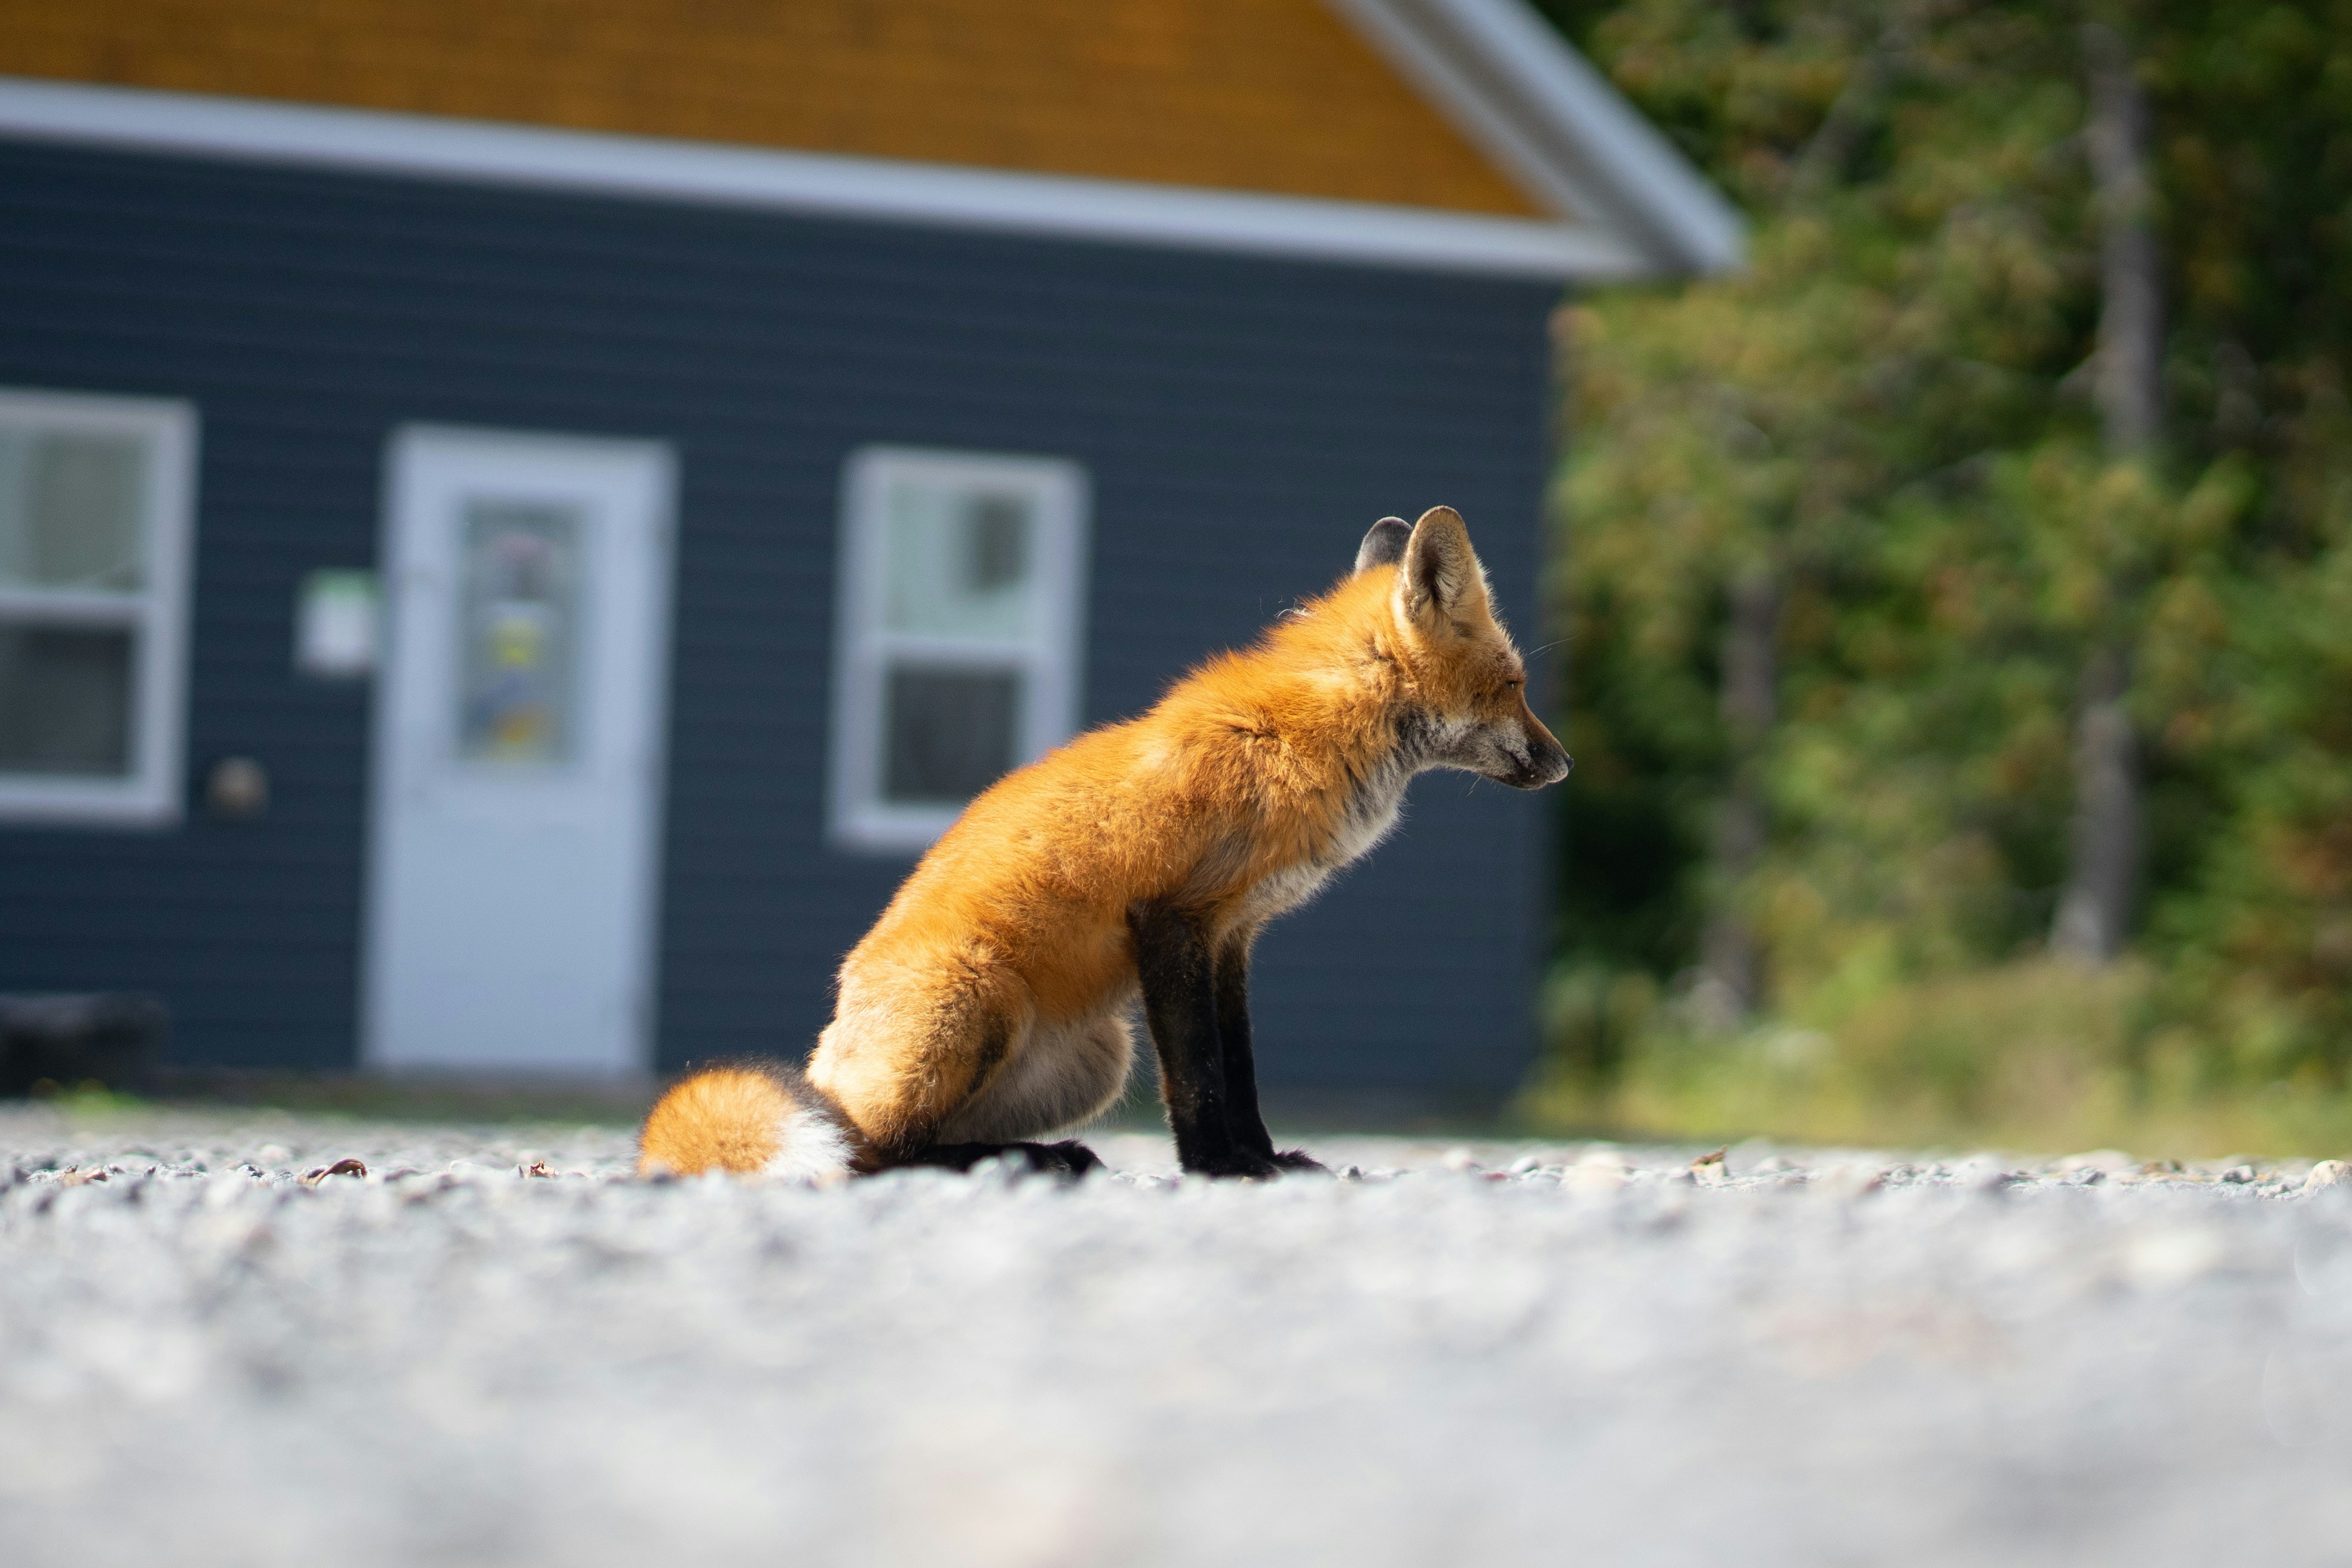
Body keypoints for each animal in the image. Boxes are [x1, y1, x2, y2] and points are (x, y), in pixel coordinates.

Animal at [637, 505, 1571, 1182]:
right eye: (1516, 686)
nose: (1563, 766)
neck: (1299, 739)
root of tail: (829, 1066)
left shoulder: (1233, 937)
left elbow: (1241, 1071)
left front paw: (1265, 1156)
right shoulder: (1171, 920)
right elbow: (1199, 1078)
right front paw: (1220, 1169)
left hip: (1100, 1054)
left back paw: (1034, 1155)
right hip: (979, 1003)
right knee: (880, 1153)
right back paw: (1034, 1161)